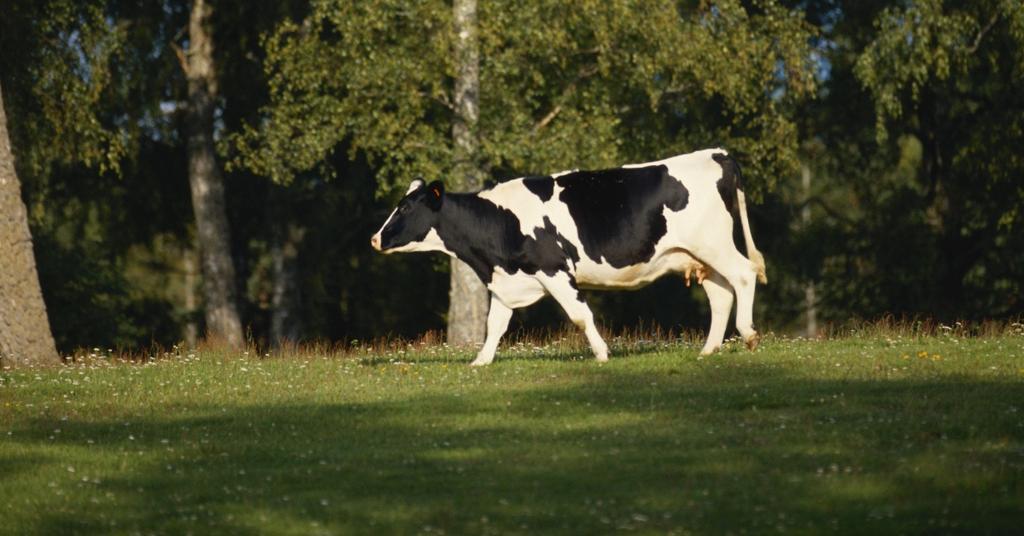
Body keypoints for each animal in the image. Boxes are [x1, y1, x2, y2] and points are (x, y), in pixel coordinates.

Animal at [370, 148, 767, 366]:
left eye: (405, 208)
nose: (375, 238)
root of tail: (717, 154)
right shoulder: (505, 278)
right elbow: (495, 324)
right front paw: (480, 361)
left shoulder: (555, 269)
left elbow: (579, 314)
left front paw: (603, 353)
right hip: (698, 257)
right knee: (721, 294)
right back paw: (708, 351)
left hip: (713, 243)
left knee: (744, 274)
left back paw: (748, 335)